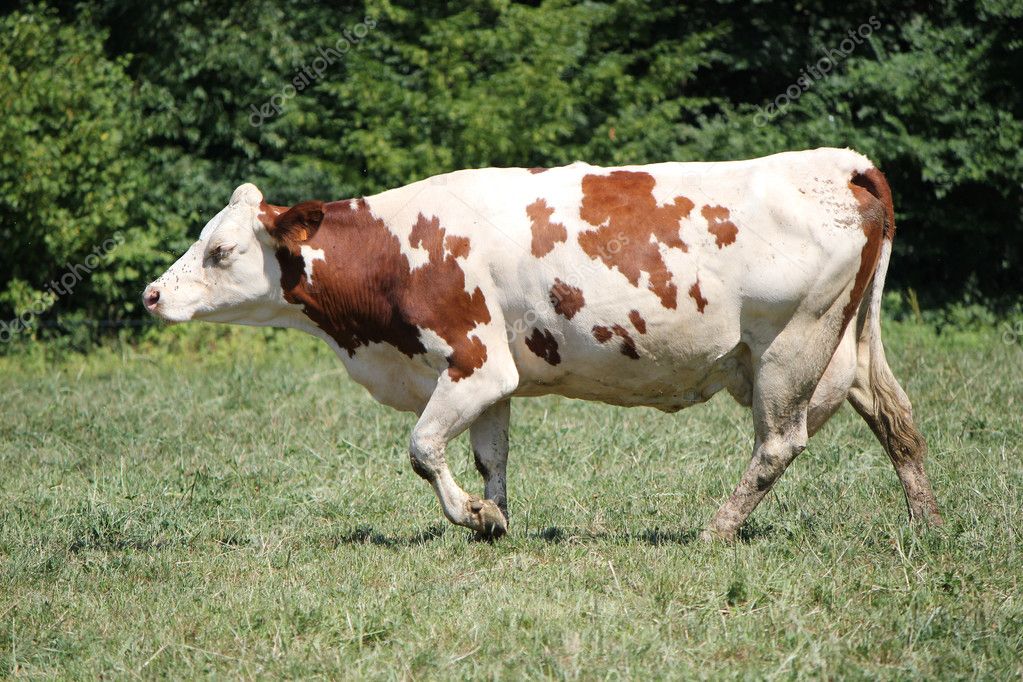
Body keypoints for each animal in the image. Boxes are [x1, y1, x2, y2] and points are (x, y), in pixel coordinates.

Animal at [143, 147, 943, 541]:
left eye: (218, 250)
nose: (152, 294)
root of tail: (840, 161)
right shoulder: (490, 375)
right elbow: (488, 456)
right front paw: (493, 520)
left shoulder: (471, 360)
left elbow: (422, 448)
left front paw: (471, 516)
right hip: (849, 347)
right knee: (898, 421)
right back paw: (927, 528)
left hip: (789, 348)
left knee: (780, 442)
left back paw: (715, 529)